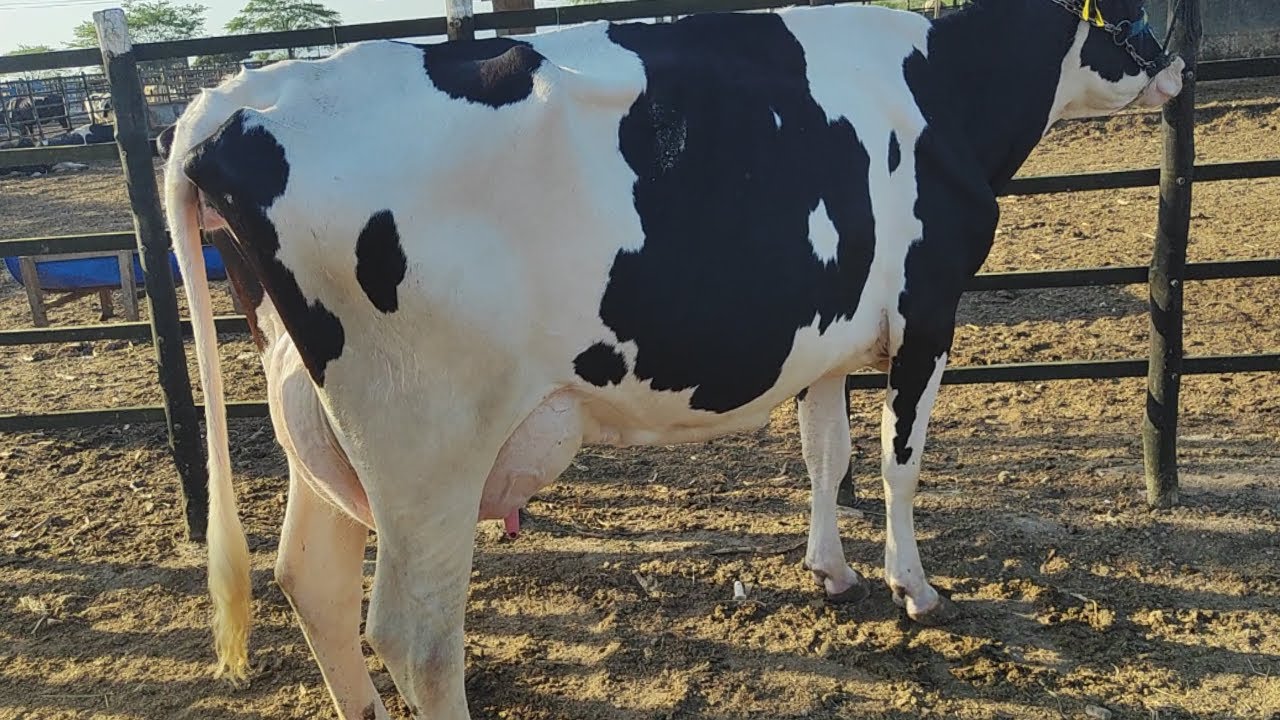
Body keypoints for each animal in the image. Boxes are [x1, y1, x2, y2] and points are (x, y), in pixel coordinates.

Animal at [159, 1, 1184, 717]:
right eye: (1125, 21)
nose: (1176, 61)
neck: (943, 92)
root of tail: (231, 99)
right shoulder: (929, 309)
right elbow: (899, 463)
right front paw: (913, 587)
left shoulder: (824, 341)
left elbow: (827, 457)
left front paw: (831, 572)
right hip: (428, 439)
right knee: (415, 638)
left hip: (315, 418)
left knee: (313, 582)